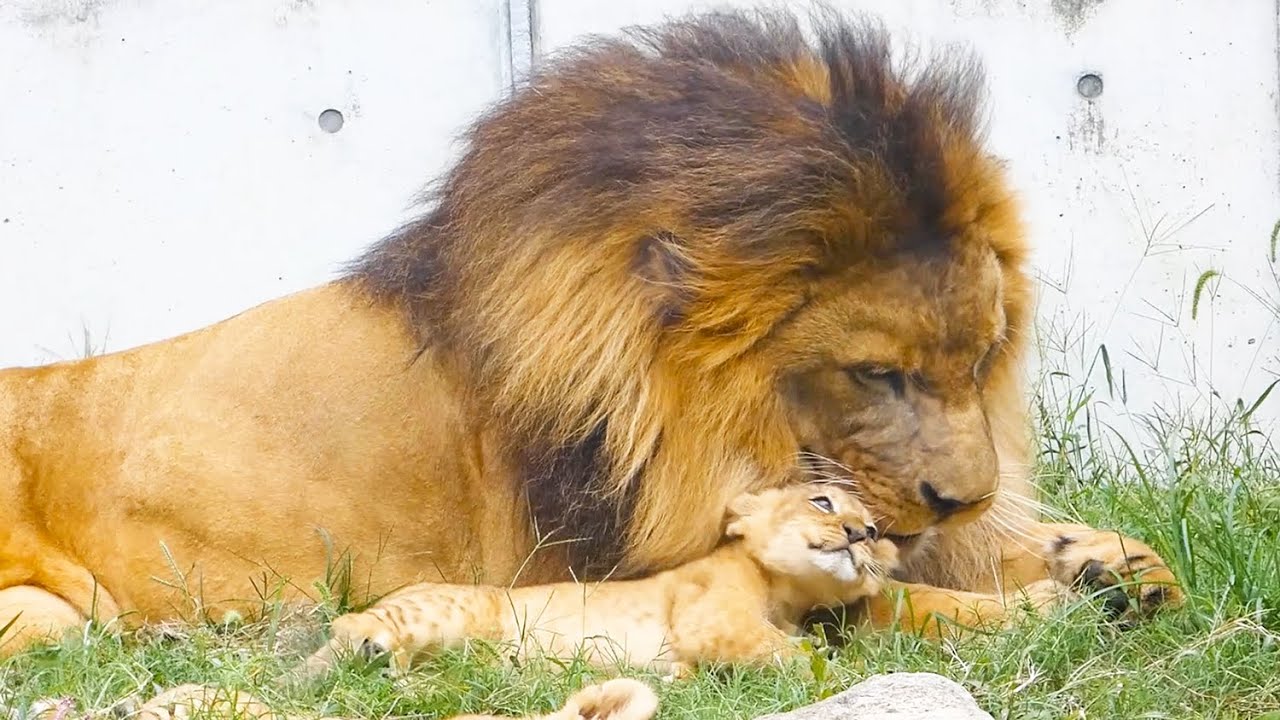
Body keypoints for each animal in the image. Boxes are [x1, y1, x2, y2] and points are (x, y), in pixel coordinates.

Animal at [0, 6, 1180, 658]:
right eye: (874, 374)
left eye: (978, 362)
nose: (966, 494)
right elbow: (899, 598)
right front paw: (1049, 608)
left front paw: (1101, 562)